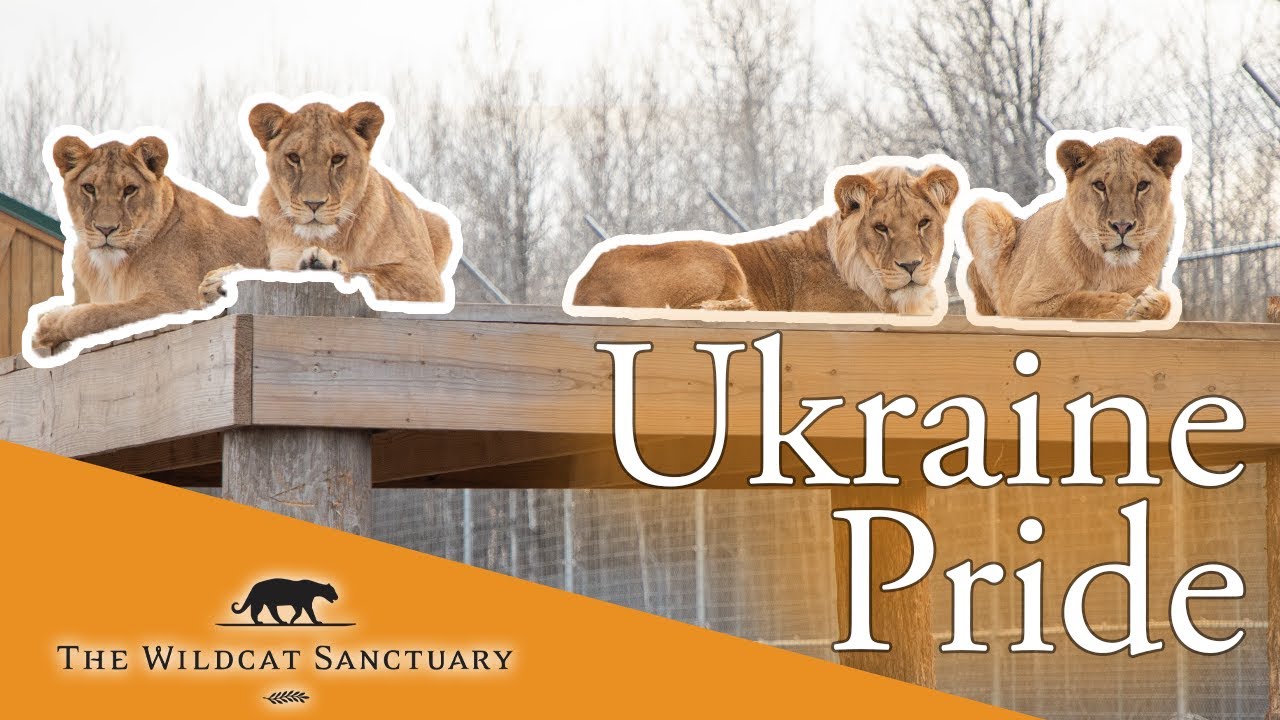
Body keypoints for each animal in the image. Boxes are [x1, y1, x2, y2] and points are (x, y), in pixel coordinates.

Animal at [32, 136, 266, 351]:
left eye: (129, 190)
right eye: (89, 188)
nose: (106, 229)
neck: (111, 268)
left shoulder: (176, 301)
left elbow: (102, 314)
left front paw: (46, 325)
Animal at [220, 100, 452, 303]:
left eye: (337, 159)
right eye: (294, 157)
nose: (314, 204)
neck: (328, 240)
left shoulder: (423, 275)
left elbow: (369, 271)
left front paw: (325, 264)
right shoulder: (281, 262)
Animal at [963, 135, 1183, 320]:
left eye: (1142, 185)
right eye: (1100, 185)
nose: (1122, 225)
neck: (1108, 267)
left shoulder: (1139, 284)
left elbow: (1166, 301)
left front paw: (1150, 302)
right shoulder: (1022, 301)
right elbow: (1074, 299)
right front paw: (1119, 304)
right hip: (980, 210)